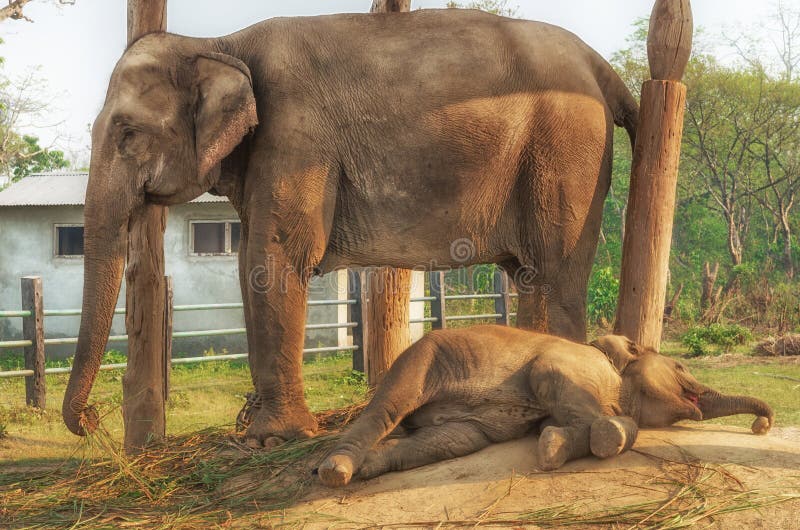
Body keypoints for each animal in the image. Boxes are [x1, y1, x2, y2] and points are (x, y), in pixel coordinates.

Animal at [62, 9, 639, 445]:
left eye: (127, 132)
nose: (91, 422)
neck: (220, 44)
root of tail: (600, 65)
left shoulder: (296, 135)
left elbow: (274, 256)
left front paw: (274, 437)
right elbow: (250, 259)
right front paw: (251, 428)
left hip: (567, 148)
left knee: (557, 270)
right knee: (530, 274)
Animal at [317, 326, 774, 487]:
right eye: (680, 368)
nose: (762, 426)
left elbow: (559, 420)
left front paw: (552, 443)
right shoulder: (570, 362)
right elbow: (549, 378)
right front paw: (608, 434)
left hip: (457, 425)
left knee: (452, 441)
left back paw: (365, 469)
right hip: (421, 360)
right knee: (386, 408)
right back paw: (336, 471)